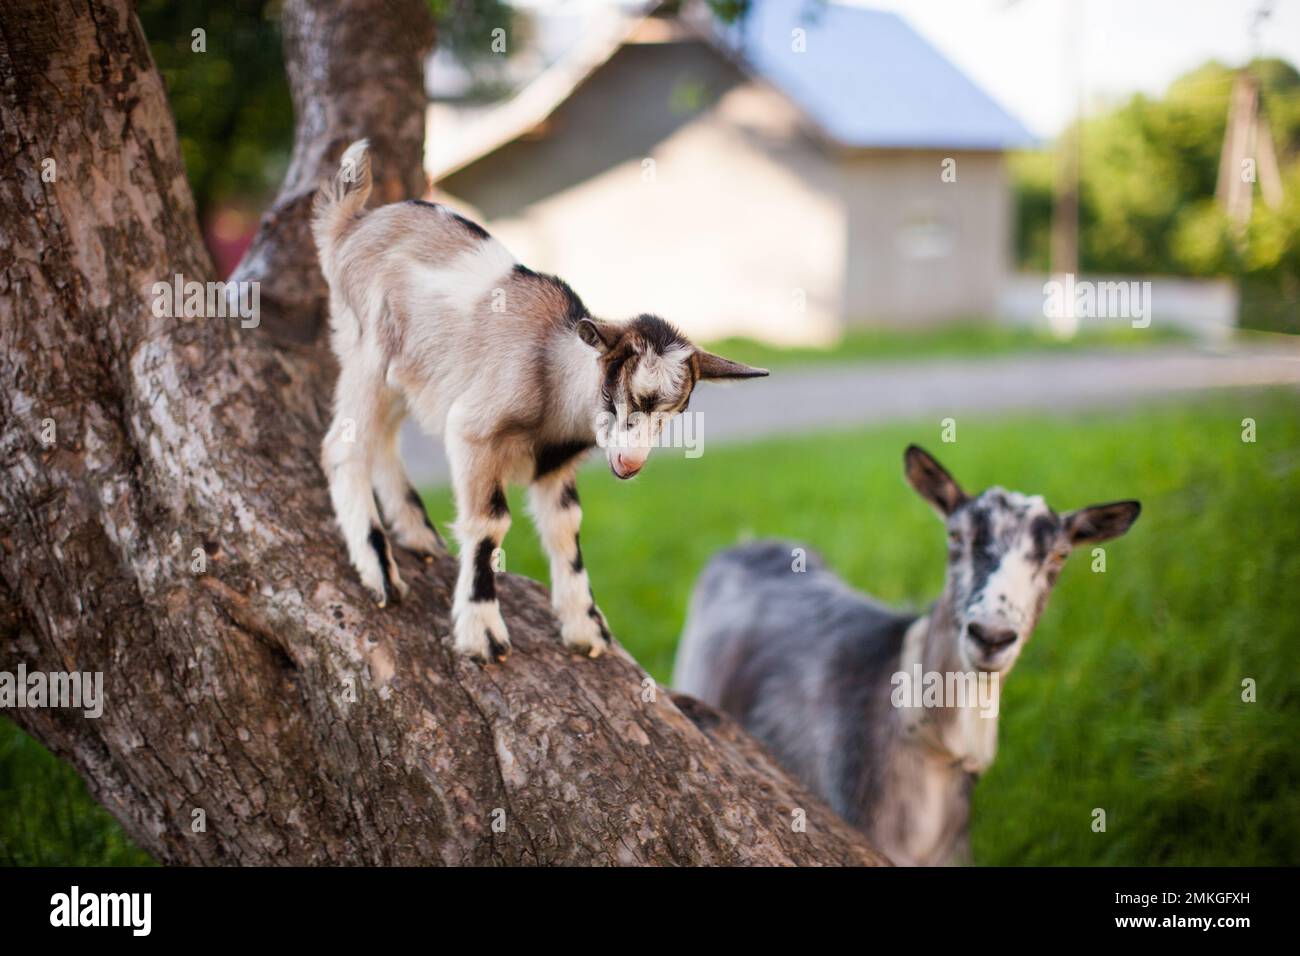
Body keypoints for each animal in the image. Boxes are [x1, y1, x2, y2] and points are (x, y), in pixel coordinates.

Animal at [311, 140, 767, 663]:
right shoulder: (475, 432)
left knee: (384, 437)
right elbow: (490, 523)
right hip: (368, 346)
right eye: (615, 389)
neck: (553, 375)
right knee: (344, 445)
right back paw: (380, 570)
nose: (630, 464)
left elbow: (566, 527)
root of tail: (348, 226)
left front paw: (587, 627)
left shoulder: (556, 465)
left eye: (676, 414)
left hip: (408, 372)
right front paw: (482, 632)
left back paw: (415, 531)